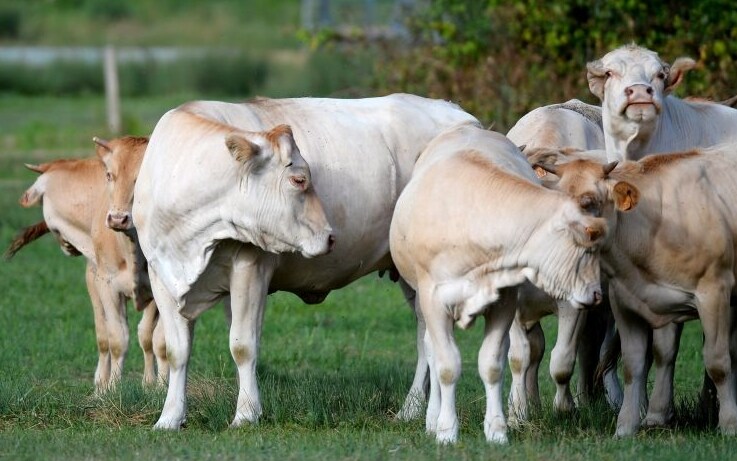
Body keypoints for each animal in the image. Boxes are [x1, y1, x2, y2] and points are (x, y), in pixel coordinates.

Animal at [7, 137, 162, 392]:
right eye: (110, 174)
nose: (118, 218)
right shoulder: (105, 284)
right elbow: (116, 338)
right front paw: (111, 388)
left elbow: (151, 337)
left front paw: (155, 385)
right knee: (104, 335)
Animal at [132, 93, 480, 430]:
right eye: (299, 180)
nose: (330, 236)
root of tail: (460, 114)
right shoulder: (161, 275)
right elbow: (177, 350)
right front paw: (169, 417)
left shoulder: (251, 266)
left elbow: (242, 345)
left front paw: (245, 415)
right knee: (425, 334)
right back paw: (412, 410)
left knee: (430, 340)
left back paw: (422, 413)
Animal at [389, 123, 608, 444]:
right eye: (587, 247)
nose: (596, 294)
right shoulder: (434, 300)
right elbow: (446, 366)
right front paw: (446, 431)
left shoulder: (504, 301)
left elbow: (492, 365)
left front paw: (497, 430)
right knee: (430, 349)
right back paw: (432, 417)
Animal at [537, 148, 737, 437]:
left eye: (588, 201)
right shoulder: (625, 301)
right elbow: (633, 365)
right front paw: (625, 426)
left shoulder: (714, 293)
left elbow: (718, 362)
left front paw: (729, 424)